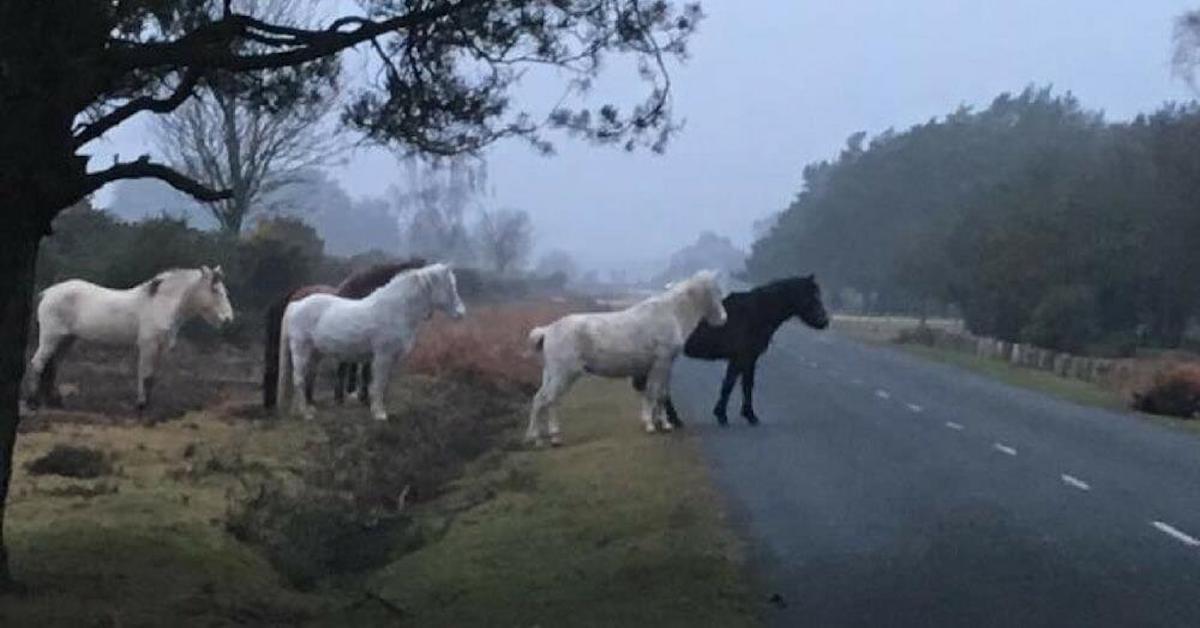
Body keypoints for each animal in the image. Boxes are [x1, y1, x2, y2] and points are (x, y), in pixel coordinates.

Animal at [26, 266, 235, 411]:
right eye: (215, 290)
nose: (228, 319)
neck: (161, 303)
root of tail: (49, 292)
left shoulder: (160, 348)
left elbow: (152, 377)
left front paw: (148, 406)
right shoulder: (148, 345)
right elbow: (145, 374)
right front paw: (141, 406)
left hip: (67, 339)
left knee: (52, 365)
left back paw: (53, 402)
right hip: (51, 337)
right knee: (39, 363)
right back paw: (33, 402)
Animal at [276, 263, 466, 421]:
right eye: (450, 287)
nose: (461, 313)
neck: (396, 309)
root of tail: (296, 304)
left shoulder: (390, 359)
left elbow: (383, 383)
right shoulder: (383, 356)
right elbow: (379, 383)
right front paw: (379, 413)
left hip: (315, 353)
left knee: (305, 378)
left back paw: (300, 409)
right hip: (301, 350)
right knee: (298, 379)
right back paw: (305, 413)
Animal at [525, 269, 727, 446]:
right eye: (715, 291)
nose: (723, 319)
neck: (671, 313)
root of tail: (547, 330)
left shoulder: (663, 366)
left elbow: (660, 394)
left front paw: (661, 423)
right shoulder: (661, 363)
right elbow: (654, 393)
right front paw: (653, 425)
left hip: (551, 374)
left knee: (539, 400)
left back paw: (537, 438)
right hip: (564, 375)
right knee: (550, 400)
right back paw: (554, 437)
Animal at [637, 274, 828, 427]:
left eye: (818, 295)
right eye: (811, 297)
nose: (824, 322)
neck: (757, 313)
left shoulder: (745, 359)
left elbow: (740, 384)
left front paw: (737, 414)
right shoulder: (743, 357)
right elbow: (735, 385)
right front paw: (734, 416)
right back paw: (673, 419)